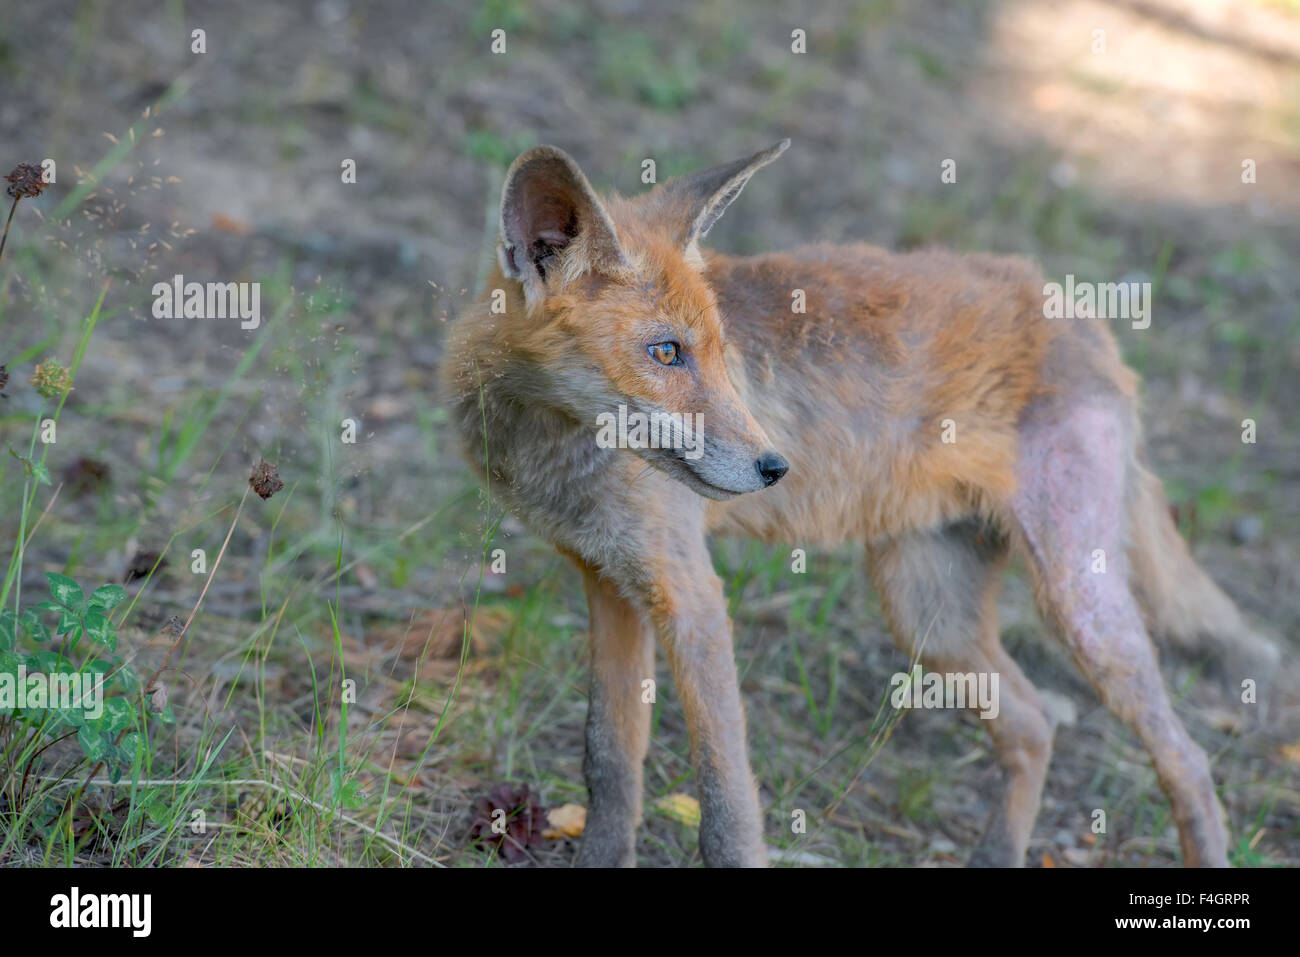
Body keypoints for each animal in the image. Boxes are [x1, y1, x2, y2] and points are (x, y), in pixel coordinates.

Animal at [440, 139, 1280, 867]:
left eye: (719, 354)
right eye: (666, 352)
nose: (775, 465)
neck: (549, 450)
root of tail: (1078, 308)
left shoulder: (690, 594)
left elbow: (727, 803)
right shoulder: (610, 582)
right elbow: (610, 764)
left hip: (1081, 607)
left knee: (1188, 759)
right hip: (929, 614)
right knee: (1037, 724)